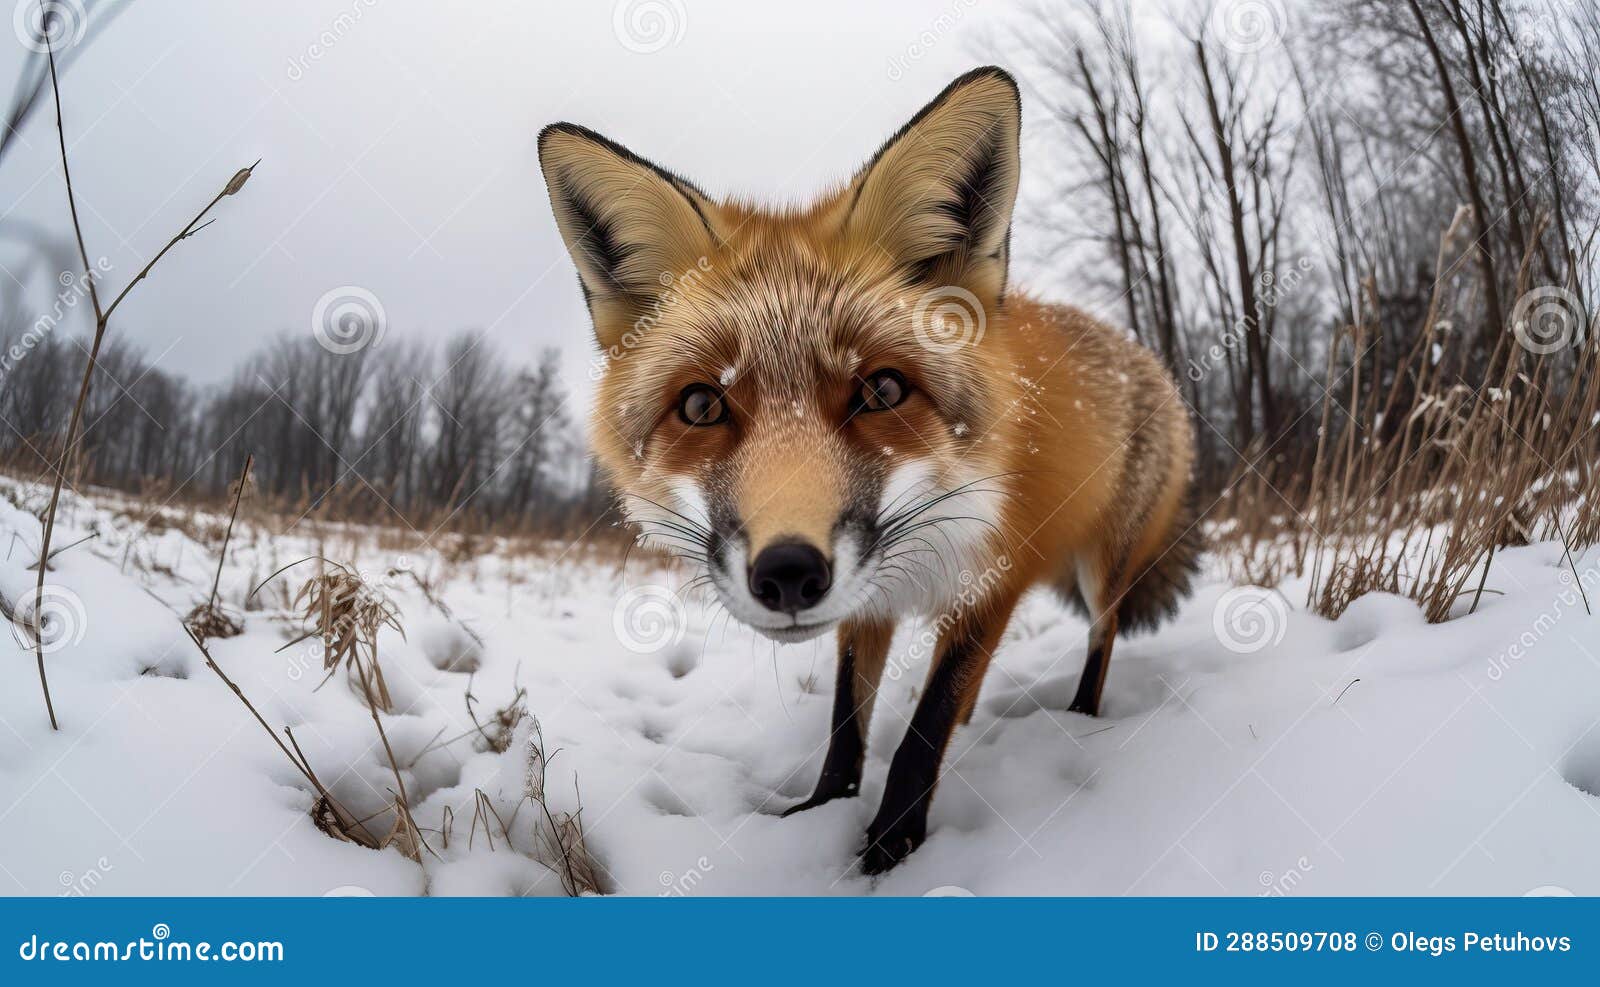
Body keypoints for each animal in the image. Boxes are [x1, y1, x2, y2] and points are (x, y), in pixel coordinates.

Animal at [537, 66, 1200, 874]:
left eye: (882, 391)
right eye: (700, 405)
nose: (788, 572)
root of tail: (1149, 360)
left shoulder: (996, 578)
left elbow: (925, 729)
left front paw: (890, 848)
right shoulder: (868, 601)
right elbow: (847, 721)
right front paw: (825, 810)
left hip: (1104, 564)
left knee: (1103, 636)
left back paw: (1080, 715)